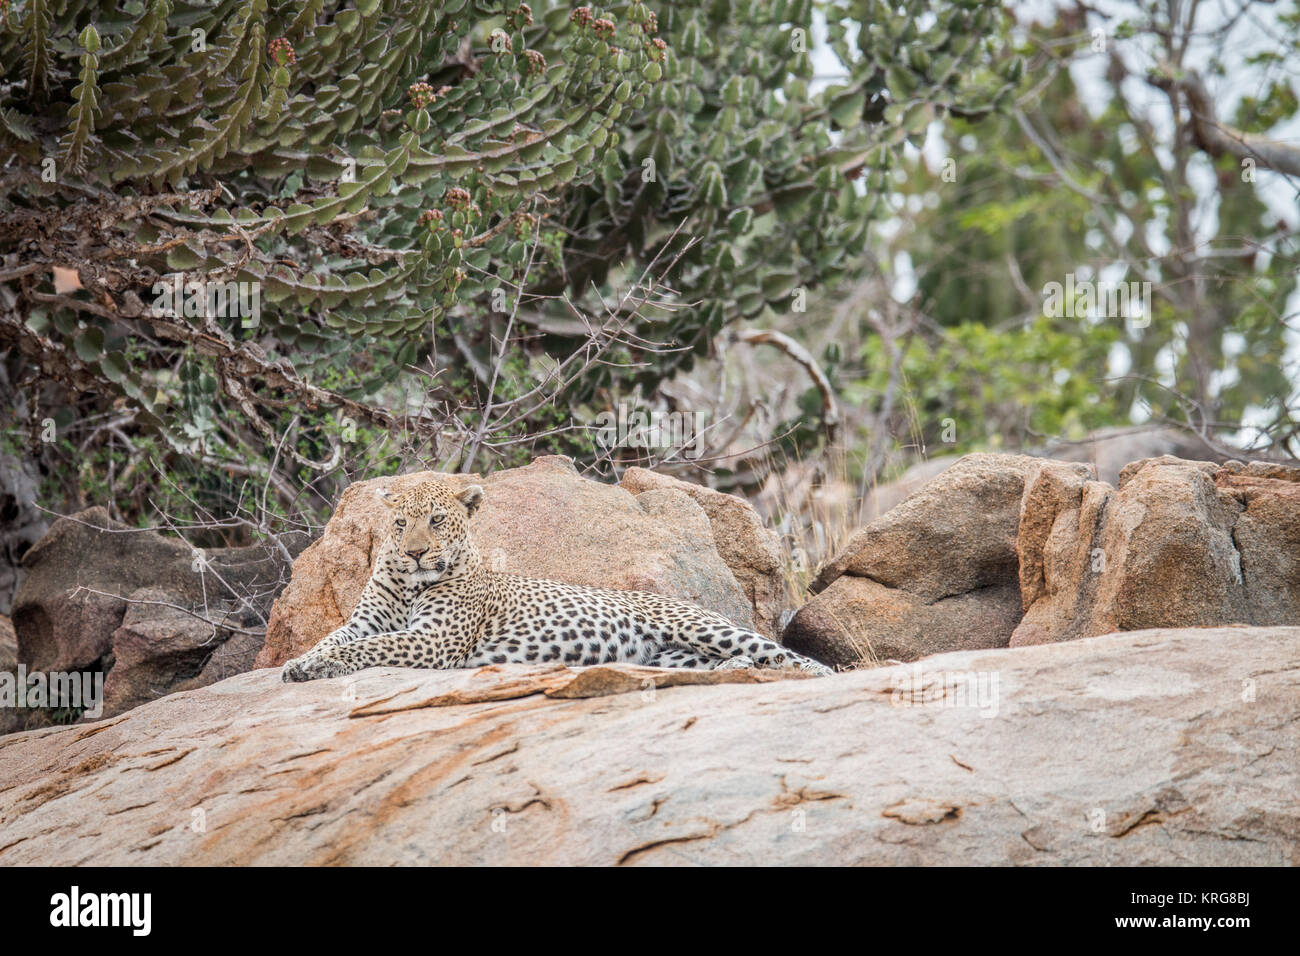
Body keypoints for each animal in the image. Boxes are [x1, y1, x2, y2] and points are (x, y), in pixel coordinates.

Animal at [280, 478, 835, 682]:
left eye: (436, 521)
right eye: (400, 524)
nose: (415, 553)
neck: (410, 582)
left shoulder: (435, 641)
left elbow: (370, 649)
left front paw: (317, 666)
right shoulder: (366, 621)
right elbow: (337, 638)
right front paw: (300, 663)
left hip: (700, 626)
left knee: (788, 656)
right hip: (672, 655)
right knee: (729, 662)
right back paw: (732, 670)